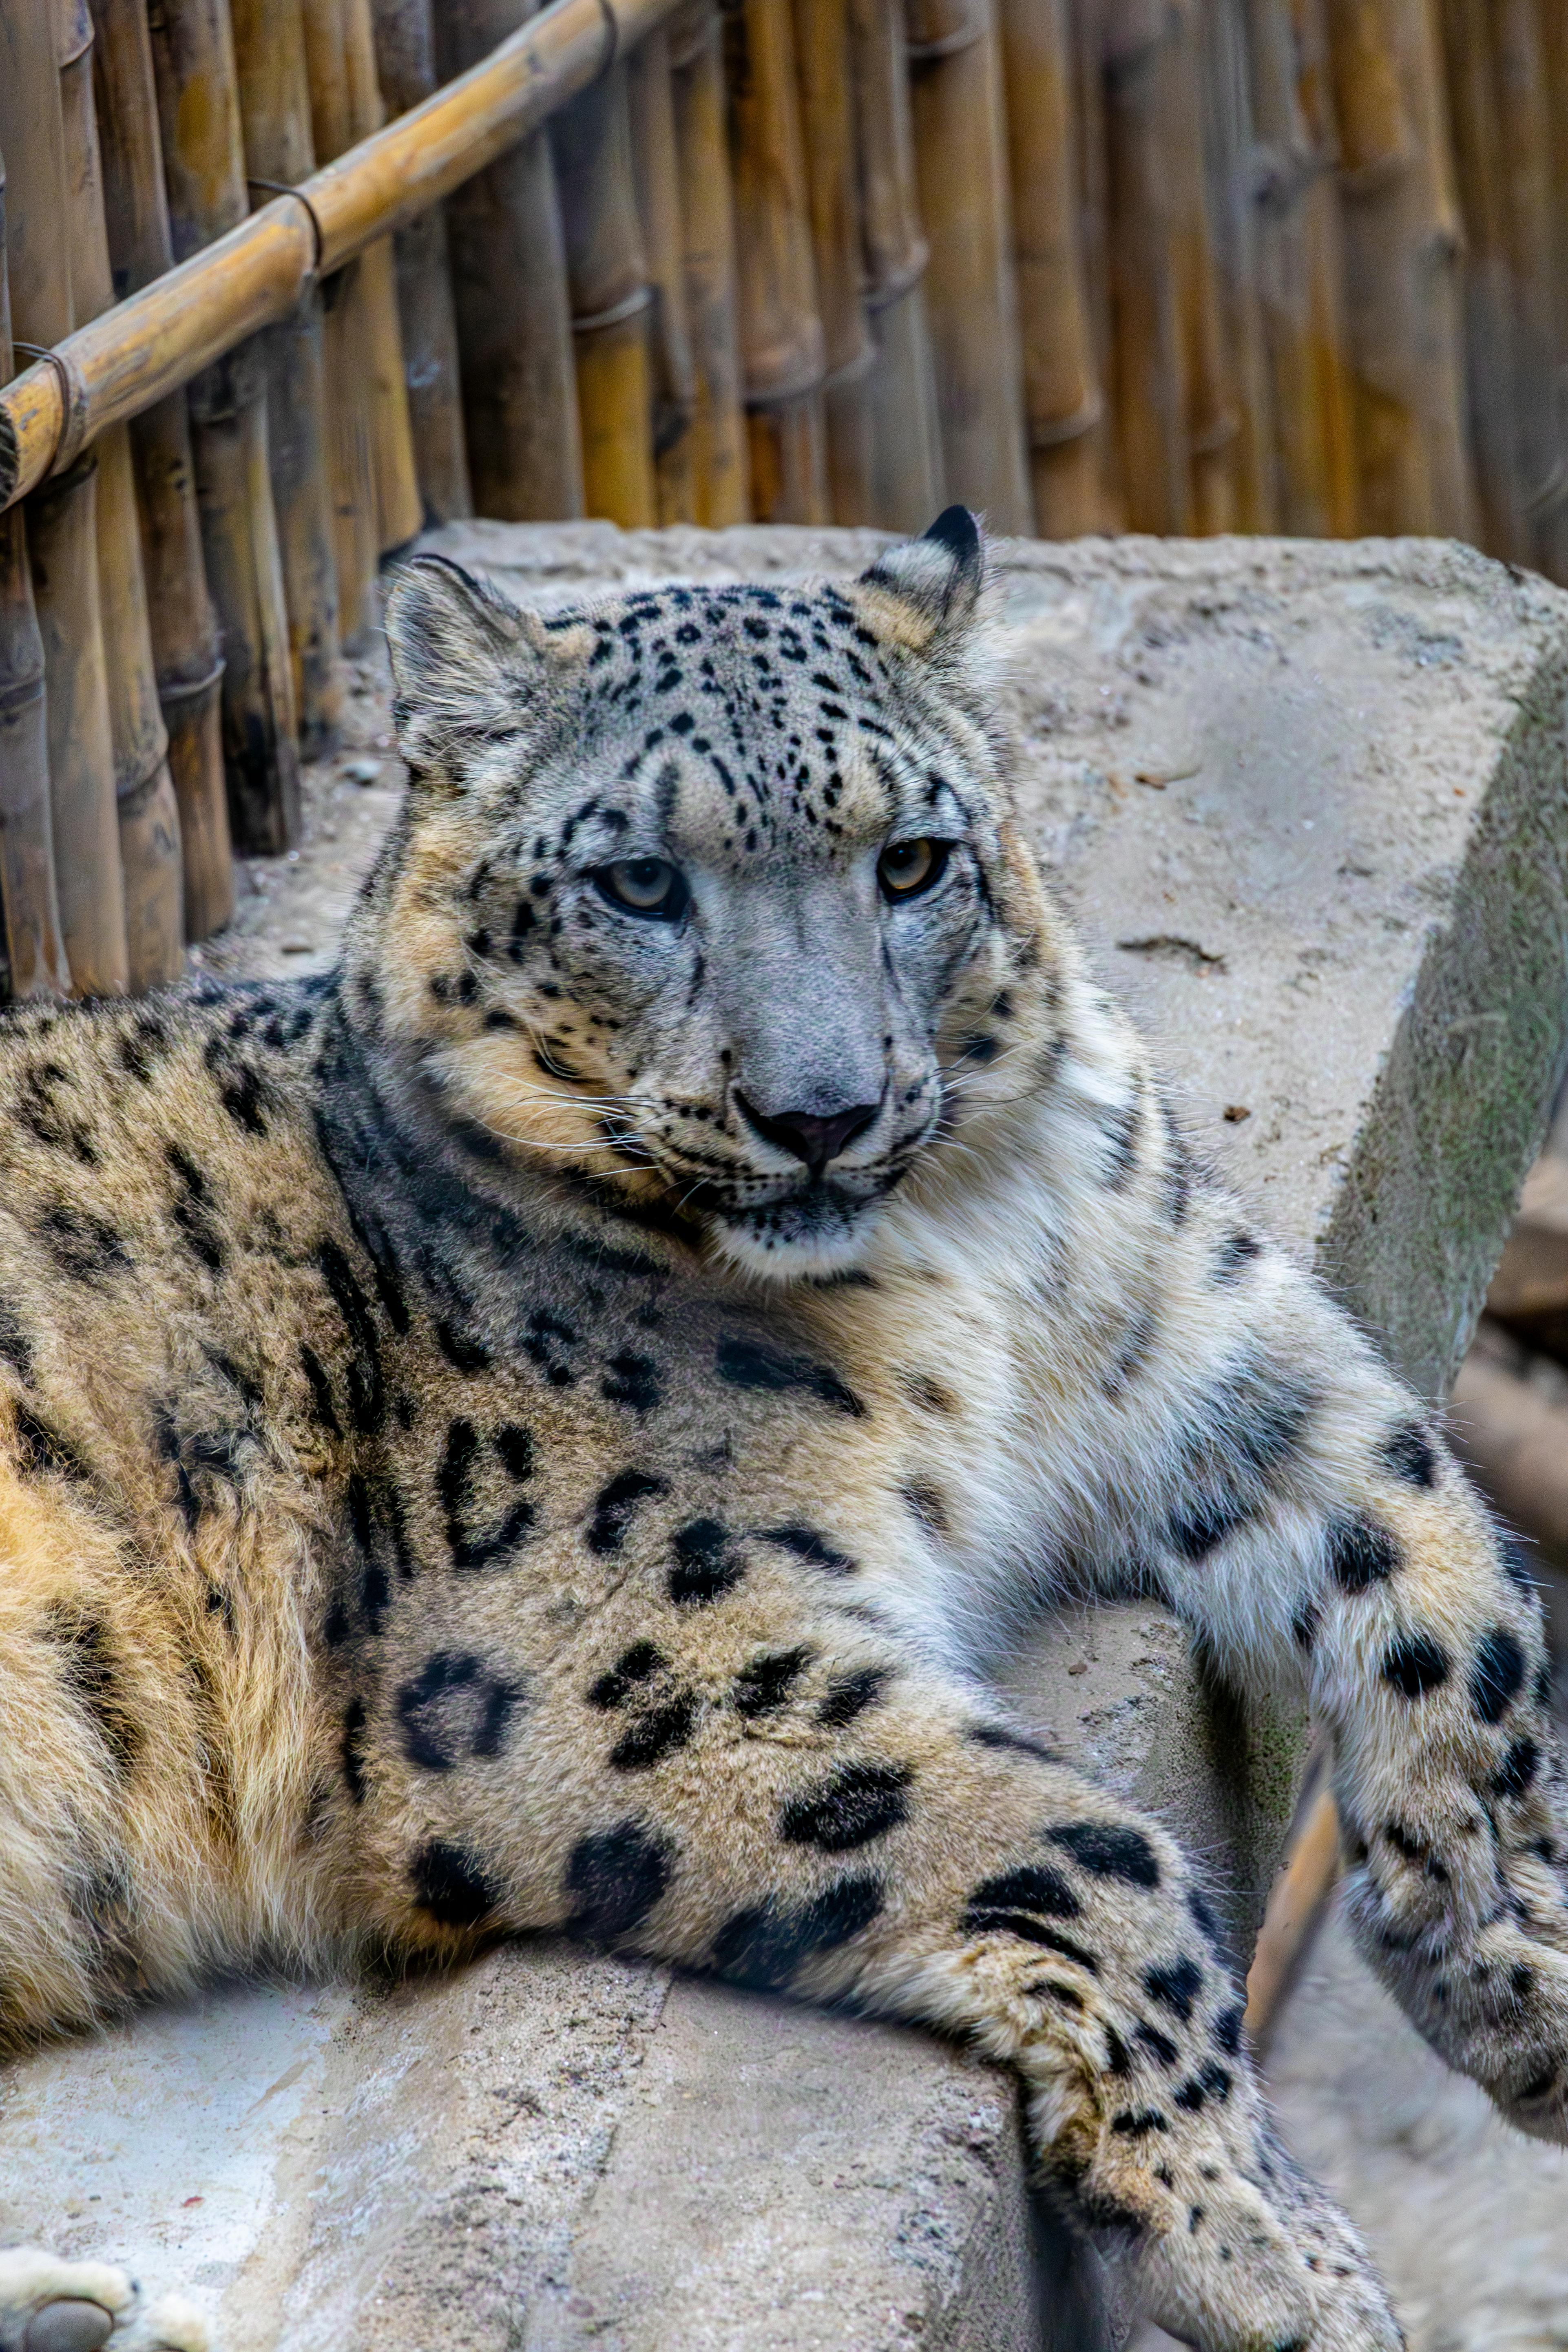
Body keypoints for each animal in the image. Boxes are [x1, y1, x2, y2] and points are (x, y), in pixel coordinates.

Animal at [1, 506, 1565, 2352]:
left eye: (909, 861)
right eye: (636, 883)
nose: (819, 1112)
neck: (969, 1264)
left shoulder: (1204, 1341)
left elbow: (1453, 1572)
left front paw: (1515, 1966)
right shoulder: (622, 1647)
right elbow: (1085, 1842)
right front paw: (1265, 2239)